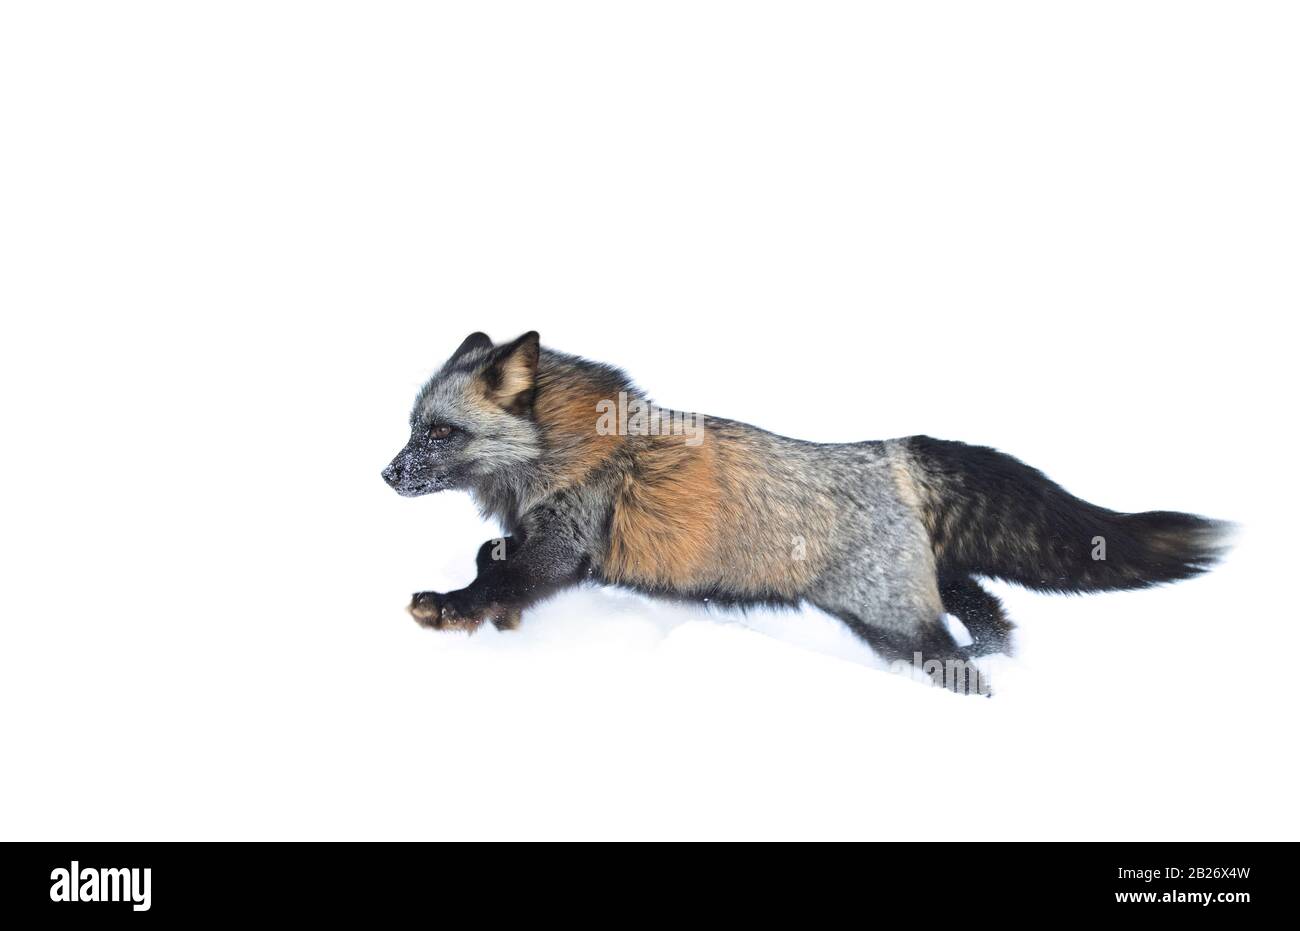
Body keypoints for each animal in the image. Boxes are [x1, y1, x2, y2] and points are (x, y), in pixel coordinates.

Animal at [382, 331, 1229, 693]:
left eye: (440, 432)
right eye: (412, 427)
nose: (387, 473)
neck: (575, 450)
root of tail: (891, 451)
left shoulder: (562, 546)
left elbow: (496, 580)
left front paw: (452, 608)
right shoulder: (544, 542)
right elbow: (494, 565)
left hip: (897, 627)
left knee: (964, 663)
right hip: (924, 600)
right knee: (992, 618)